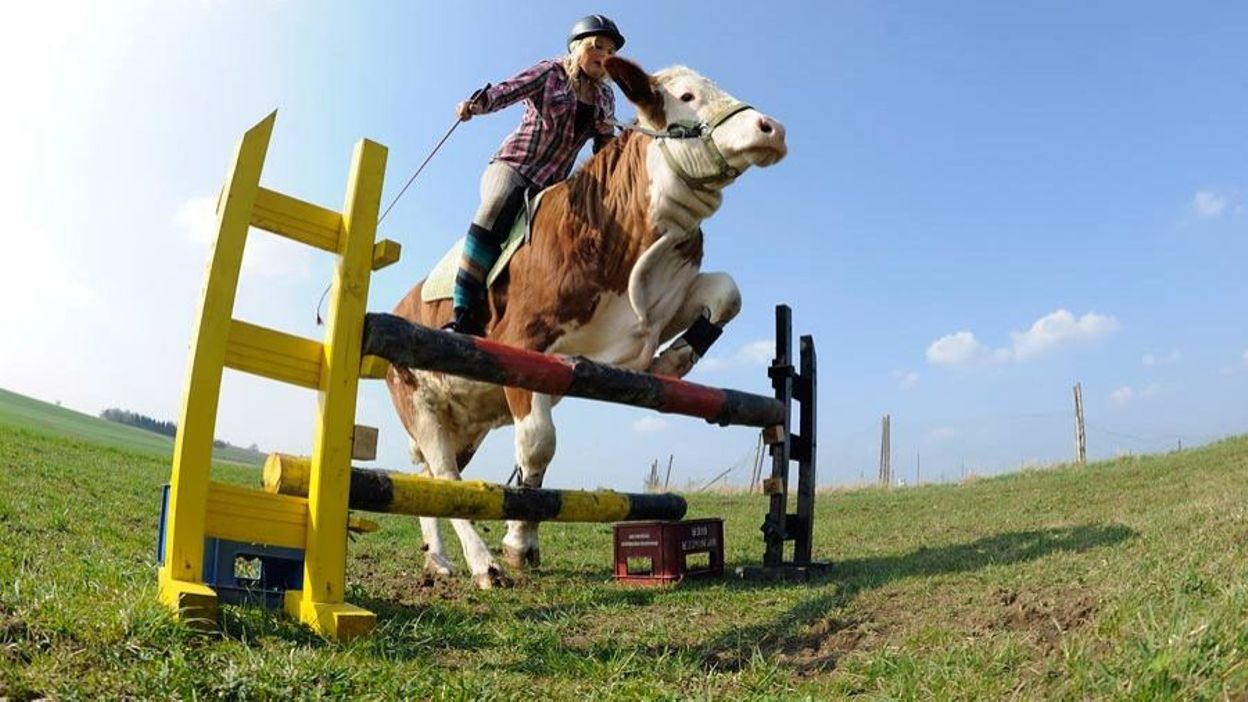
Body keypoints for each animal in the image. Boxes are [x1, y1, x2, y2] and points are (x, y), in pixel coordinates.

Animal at [384, 56, 787, 588]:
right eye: (686, 96)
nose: (772, 128)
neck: (619, 226)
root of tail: (397, 308)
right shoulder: (524, 343)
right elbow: (537, 445)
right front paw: (516, 544)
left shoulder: (650, 310)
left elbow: (726, 292)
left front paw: (671, 363)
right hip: (420, 406)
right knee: (449, 478)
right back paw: (482, 564)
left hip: (463, 421)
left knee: (431, 480)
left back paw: (439, 559)